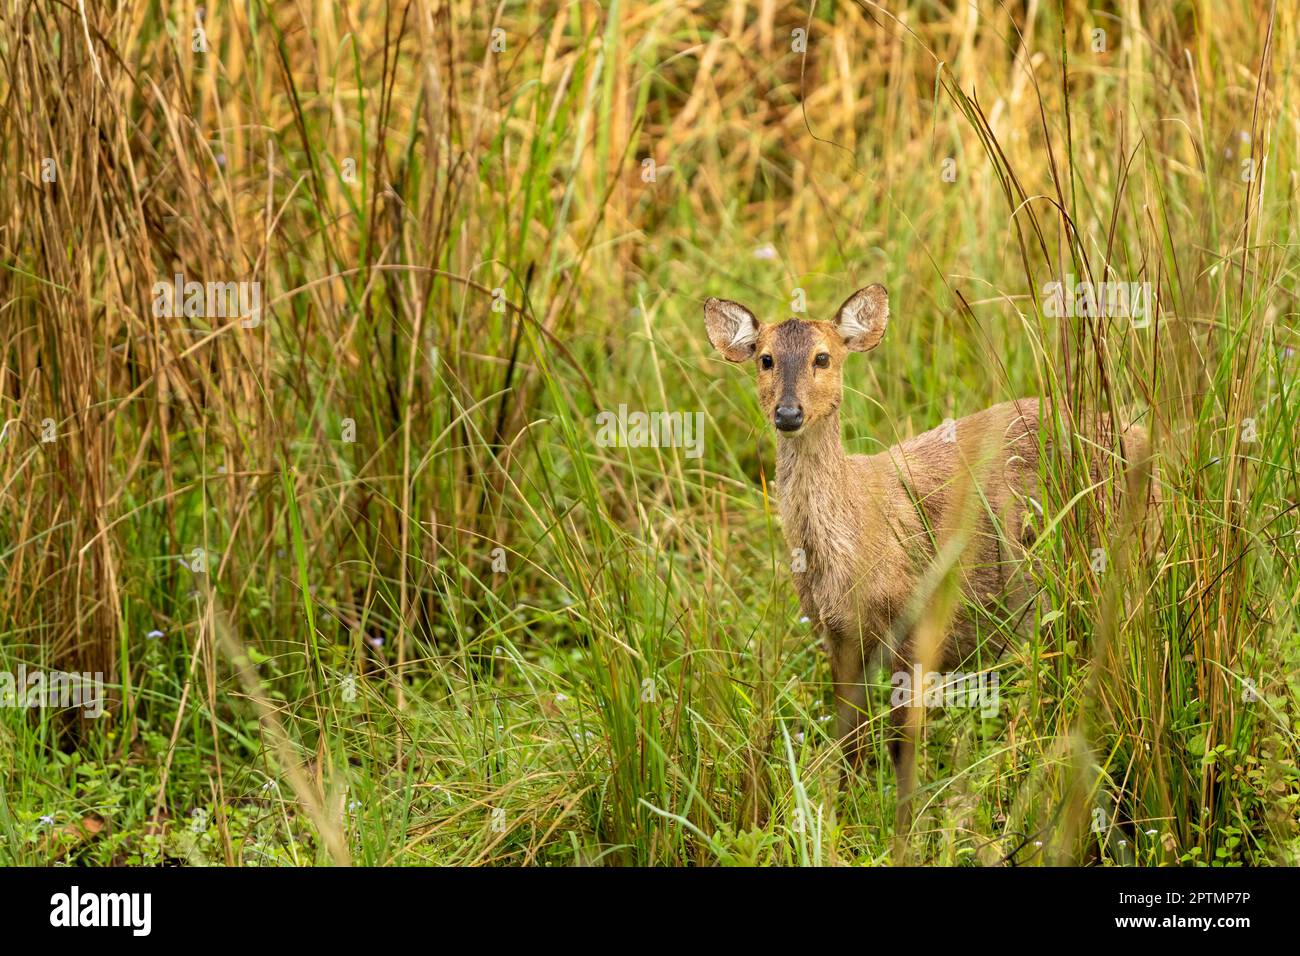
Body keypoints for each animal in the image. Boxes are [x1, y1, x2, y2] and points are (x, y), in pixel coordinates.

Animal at [703, 284, 1153, 803]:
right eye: (766, 358)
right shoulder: (834, 633)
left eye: (823, 357)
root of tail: (1135, 433)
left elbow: (901, 741)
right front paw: (844, 808)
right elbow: (849, 739)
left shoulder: (914, 619)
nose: (789, 413)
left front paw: (903, 814)